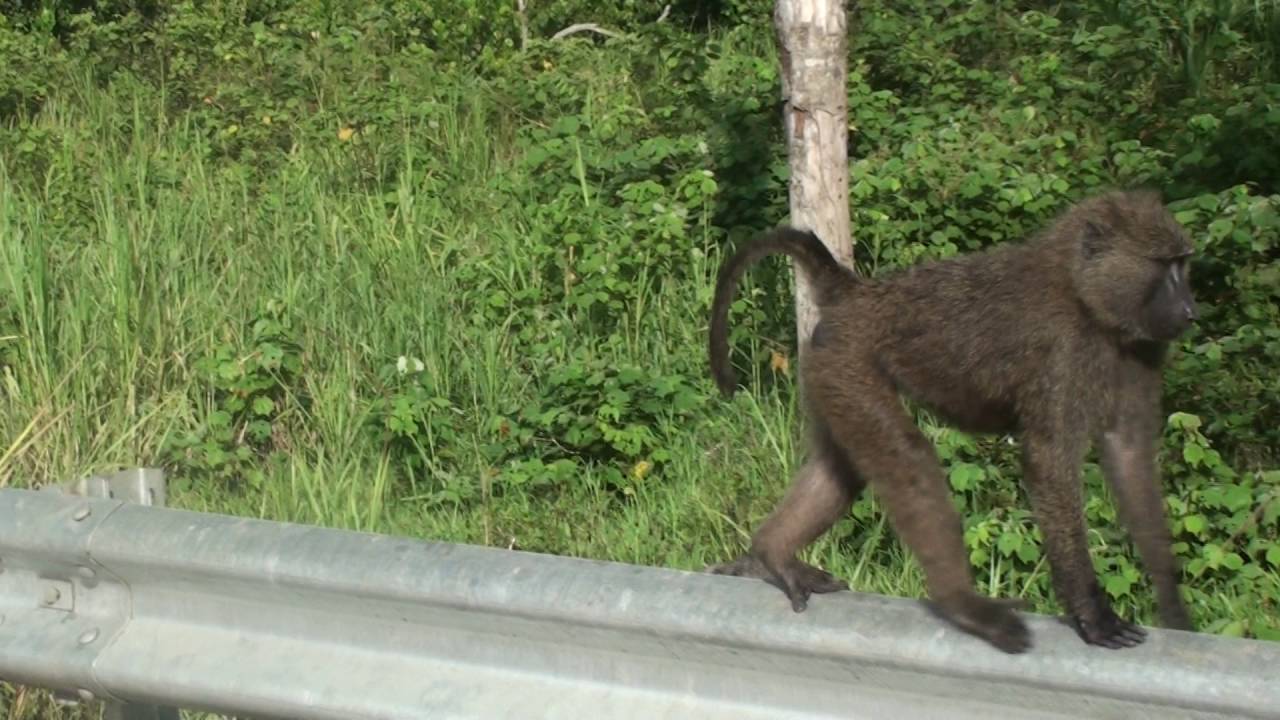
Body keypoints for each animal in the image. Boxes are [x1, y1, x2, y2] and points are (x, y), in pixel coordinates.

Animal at [707, 189, 1199, 653]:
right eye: (1166, 266)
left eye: (1182, 263)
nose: (1191, 310)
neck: (1084, 293)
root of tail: (858, 294)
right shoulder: (1063, 350)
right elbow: (1050, 462)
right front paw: (1093, 615)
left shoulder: (1141, 349)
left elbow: (1130, 454)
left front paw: (1176, 613)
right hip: (848, 361)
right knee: (908, 458)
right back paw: (963, 605)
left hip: (828, 365)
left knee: (843, 470)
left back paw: (773, 554)